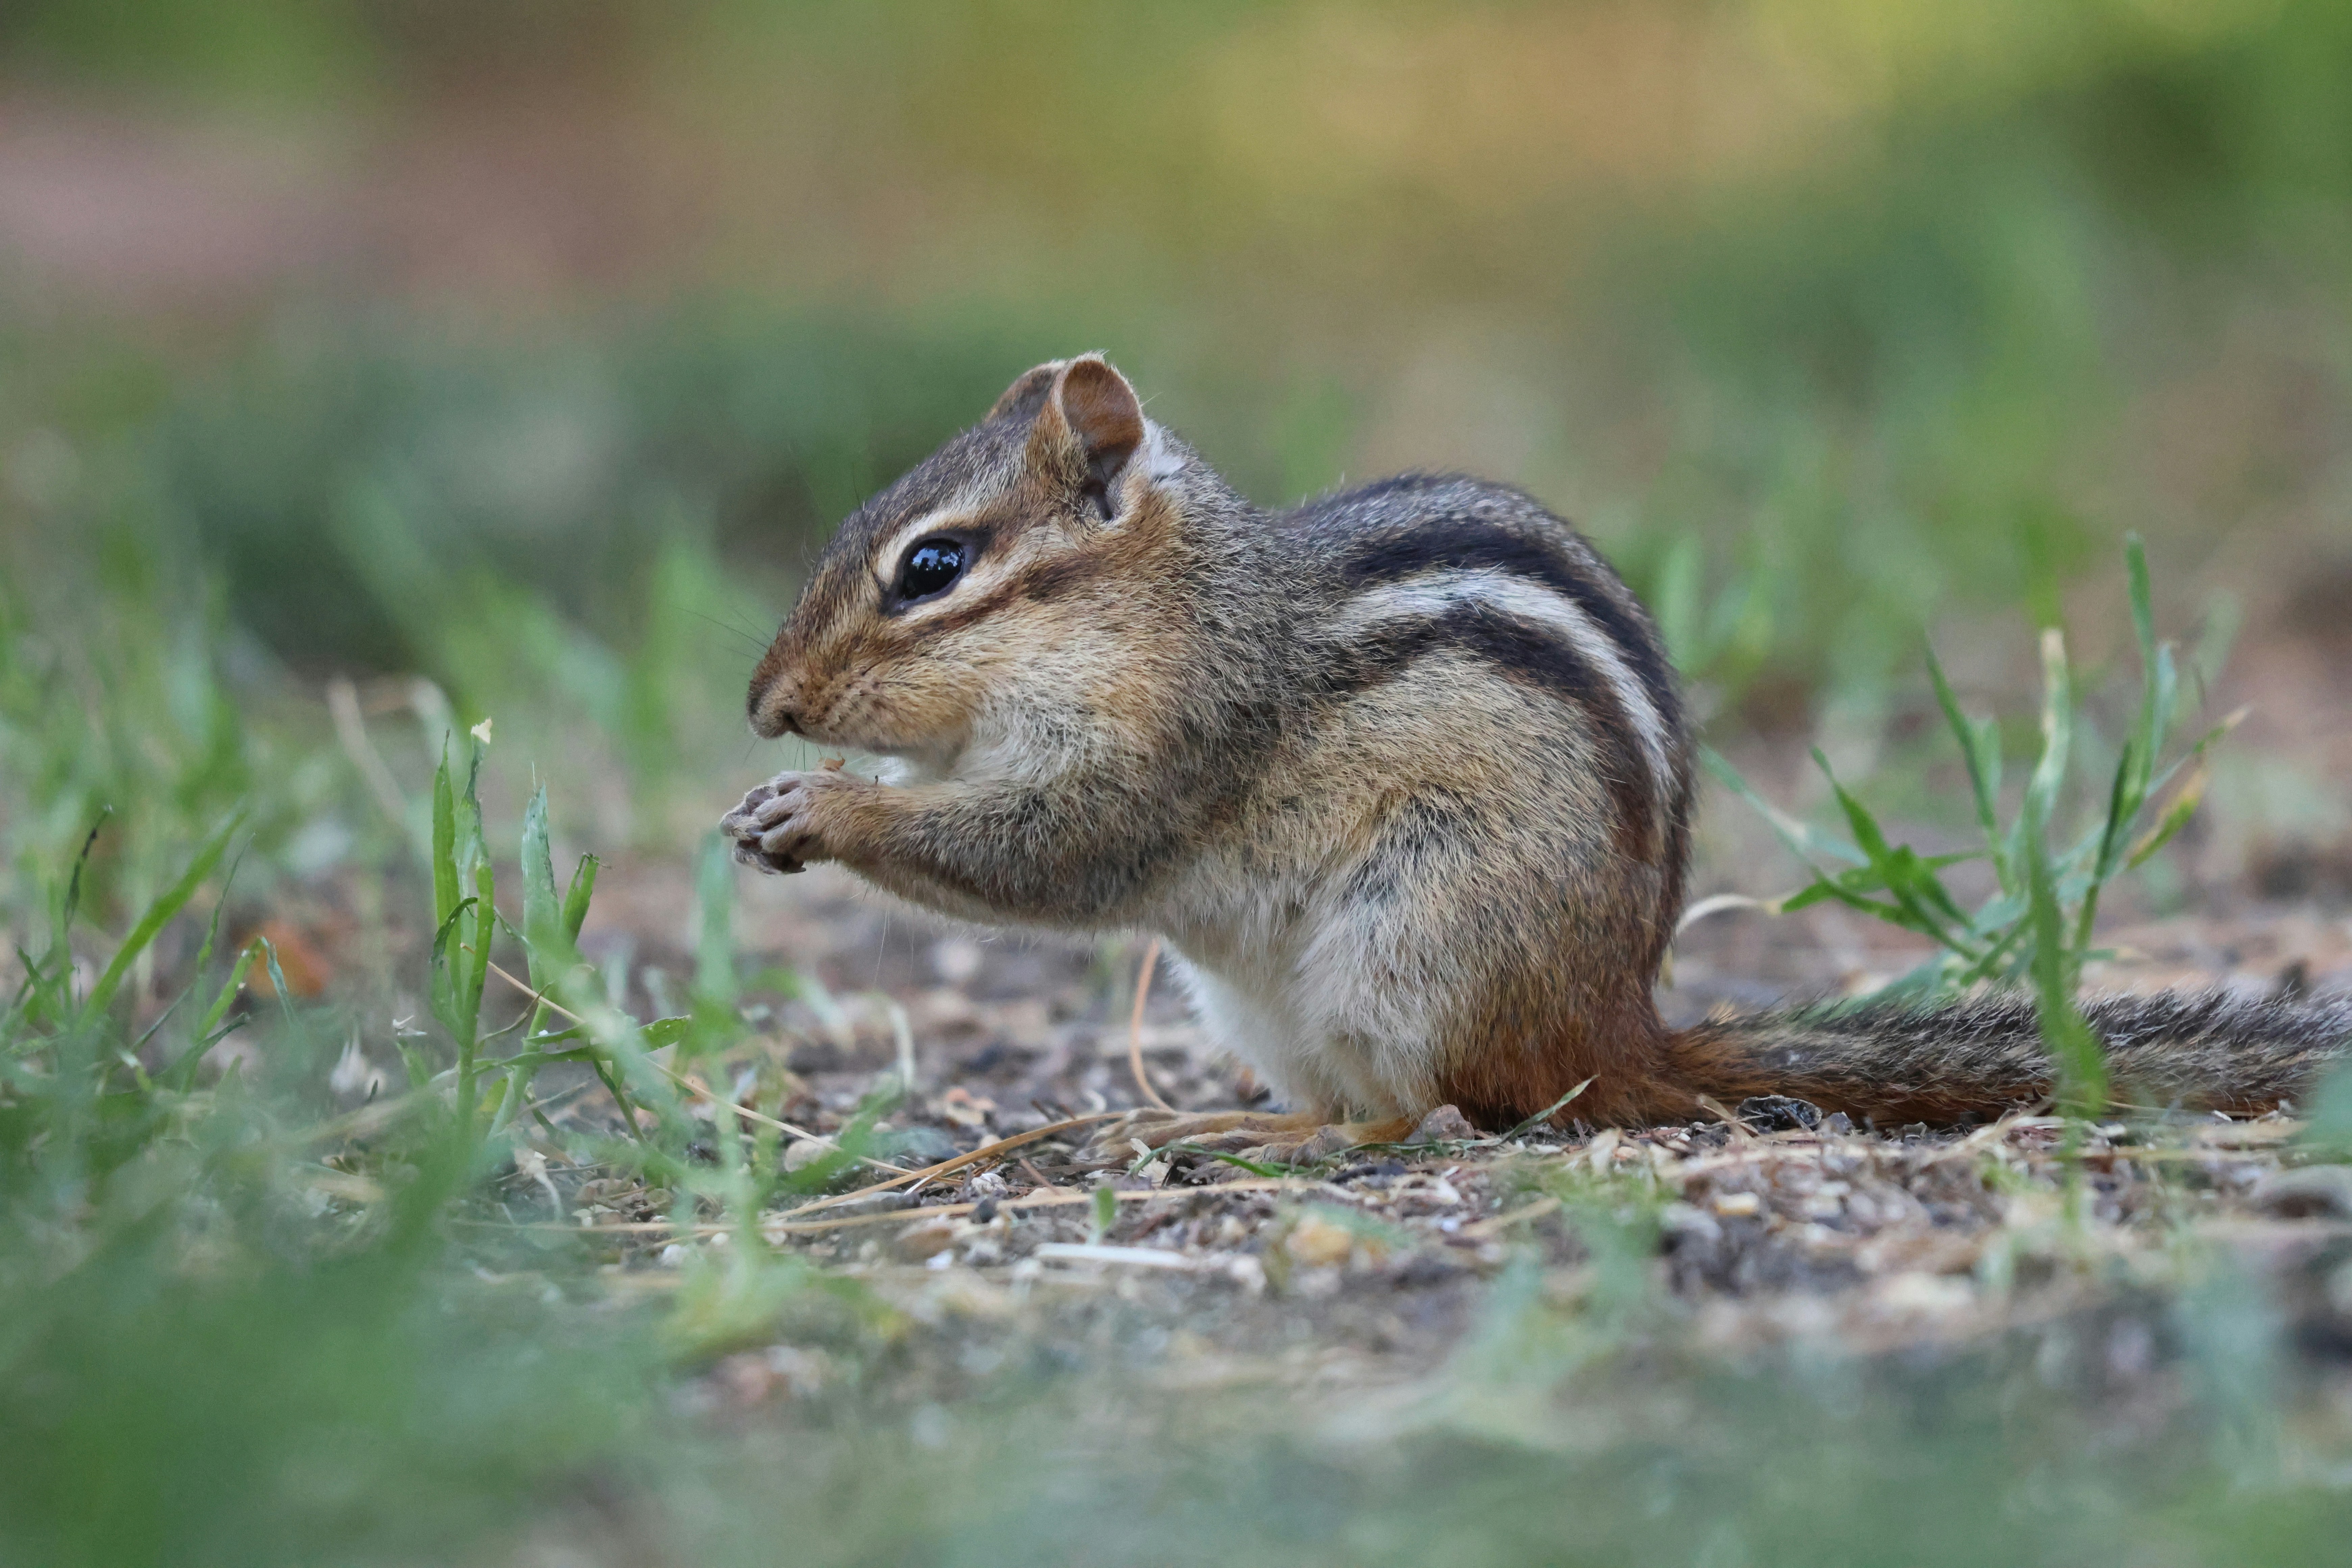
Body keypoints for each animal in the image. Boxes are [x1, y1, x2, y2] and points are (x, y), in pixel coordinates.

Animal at [719, 354, 2350, 1157]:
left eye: (932, 566)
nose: (765, 701)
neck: (1168, 605)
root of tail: (1620, 1024)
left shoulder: (1171, 742)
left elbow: (1052, 850)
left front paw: (826, 811)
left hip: (1414, 931)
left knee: (1426, 1107)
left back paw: (1285, 1140)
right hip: (1270, 996)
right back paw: (1218, 1111)